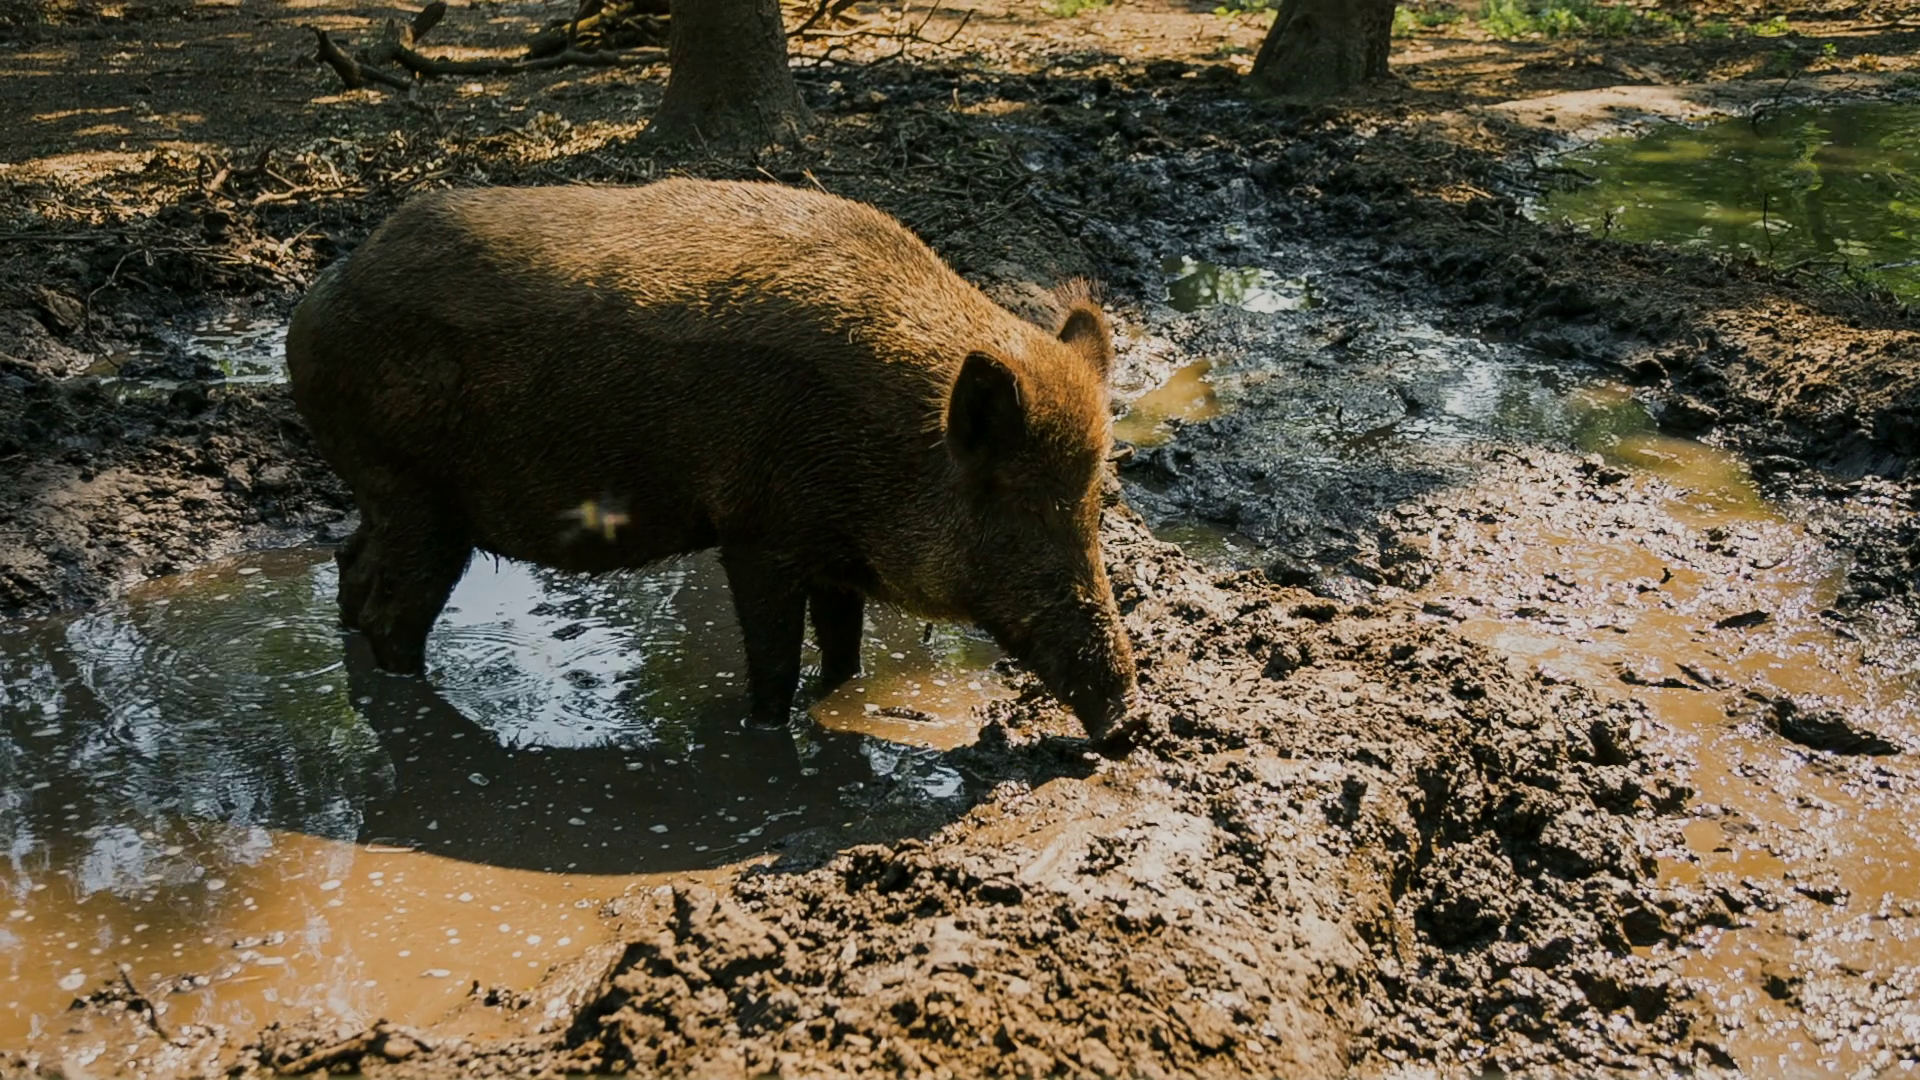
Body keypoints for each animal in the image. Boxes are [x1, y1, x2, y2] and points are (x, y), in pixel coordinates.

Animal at [285, 179, 1141, 753]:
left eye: (1098, 505)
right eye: (1017, 507)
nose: (1128, 718)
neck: (892, 443)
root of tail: (320, 295)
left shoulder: (831, 556)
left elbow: (844, 651)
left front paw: (840, 701)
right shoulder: (758, 534)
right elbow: (774, 664)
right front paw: (767, 735)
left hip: (386, 496)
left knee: (351, 564)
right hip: (418, 498)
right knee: (394, 615)